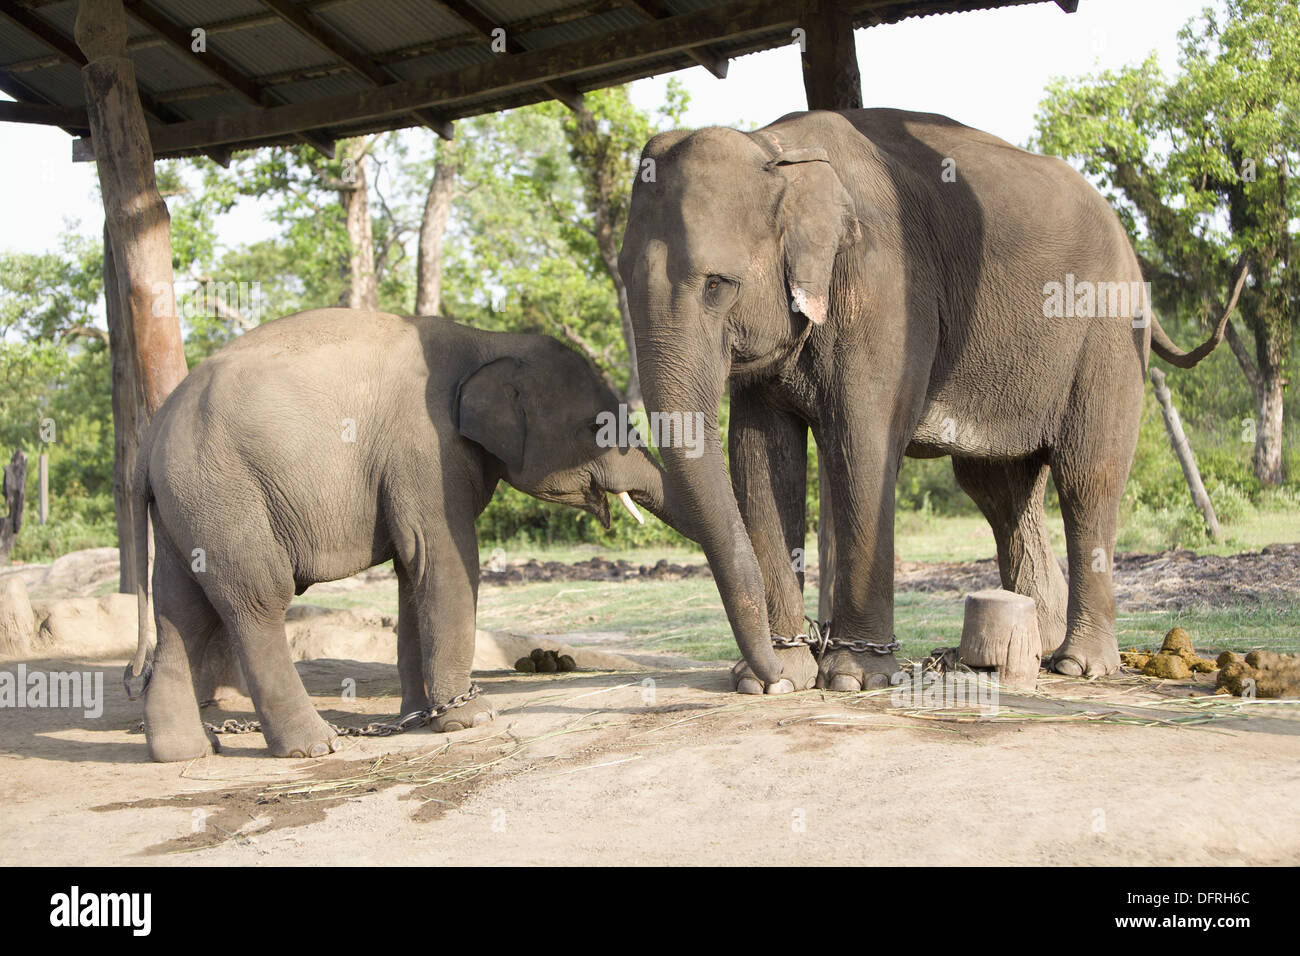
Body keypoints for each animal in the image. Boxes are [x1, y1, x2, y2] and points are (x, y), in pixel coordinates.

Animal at [127, 308, 685, 761]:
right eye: (595, 426)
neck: (488, 340)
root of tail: (149, 440)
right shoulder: (426, 450)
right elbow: (444, 560)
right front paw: (471, 719)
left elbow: (411, 571)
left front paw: (420, 718)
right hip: (224, 492)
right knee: (258, 599)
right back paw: (315, 746)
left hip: (190, 506)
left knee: (183, 611)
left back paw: (188, 752)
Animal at [618, 108, 1237, 695]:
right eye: (623, 280)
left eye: (718, 285)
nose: (781, 659)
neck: (776, 146)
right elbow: (759, 459)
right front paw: (777, 679)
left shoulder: (887, 289)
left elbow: (863, 448)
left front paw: (852, 679)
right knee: (1000, 490)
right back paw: (1037, 648)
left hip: (1109, 331)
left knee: (1089, 476)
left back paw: (1079, 666)